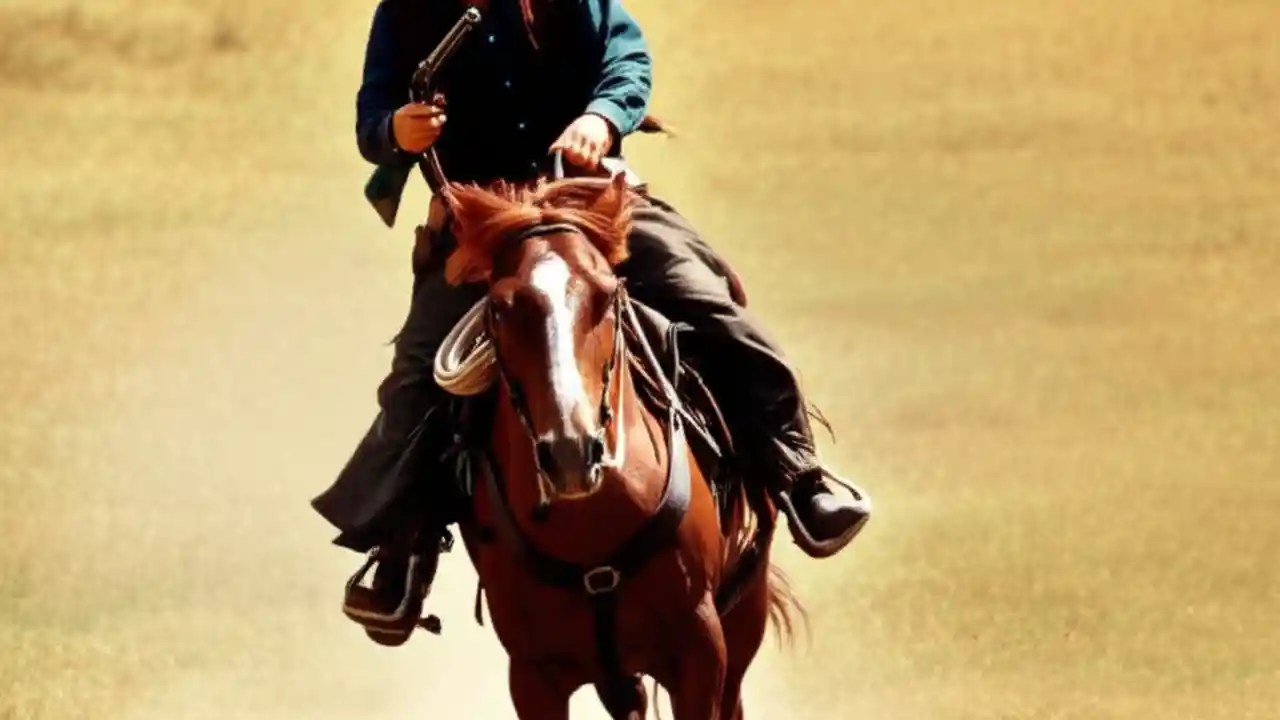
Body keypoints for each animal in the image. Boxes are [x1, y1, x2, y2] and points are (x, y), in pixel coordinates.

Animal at [434, 173, 799, 719]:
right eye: (498, 308)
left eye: (607, 294)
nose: (571, 450)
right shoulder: (533, 673)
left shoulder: (700, 646)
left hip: (742, 617)